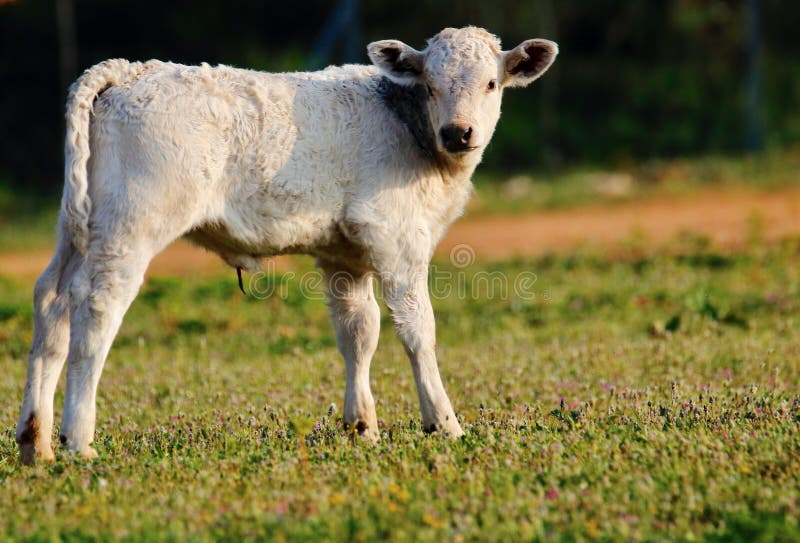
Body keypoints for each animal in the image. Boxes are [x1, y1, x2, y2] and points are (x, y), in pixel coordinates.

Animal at [16, 26, 558, 464]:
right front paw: (444, 424)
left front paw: (362, 427)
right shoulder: (397, 239)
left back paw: (35, 442)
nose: (458, 132)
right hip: (131, 225)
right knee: (96, 305)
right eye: (430, 84)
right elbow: (417, 329)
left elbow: (358, 332)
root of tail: (128, 70)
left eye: (491, 84)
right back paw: (78, 441)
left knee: (51, 301)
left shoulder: (344, 255)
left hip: (78, 226)